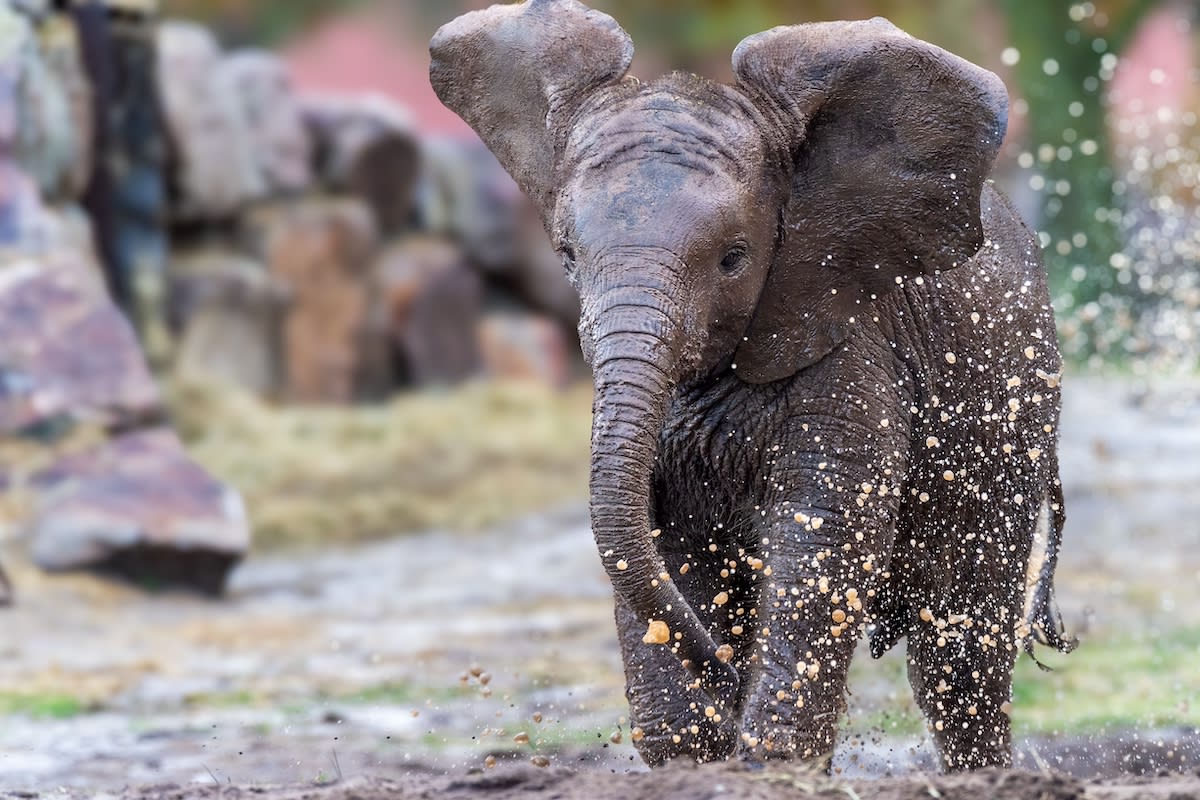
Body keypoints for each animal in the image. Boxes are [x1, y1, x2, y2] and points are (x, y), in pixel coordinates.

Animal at [431, 0, 1075, 772]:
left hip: (1012, 418)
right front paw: (693, 761)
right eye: (566, 256)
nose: (727, 674)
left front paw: (772, 762)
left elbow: (824, 527)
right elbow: (653, 530)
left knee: (958, 649)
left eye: (734, 259)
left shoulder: (850, 342)